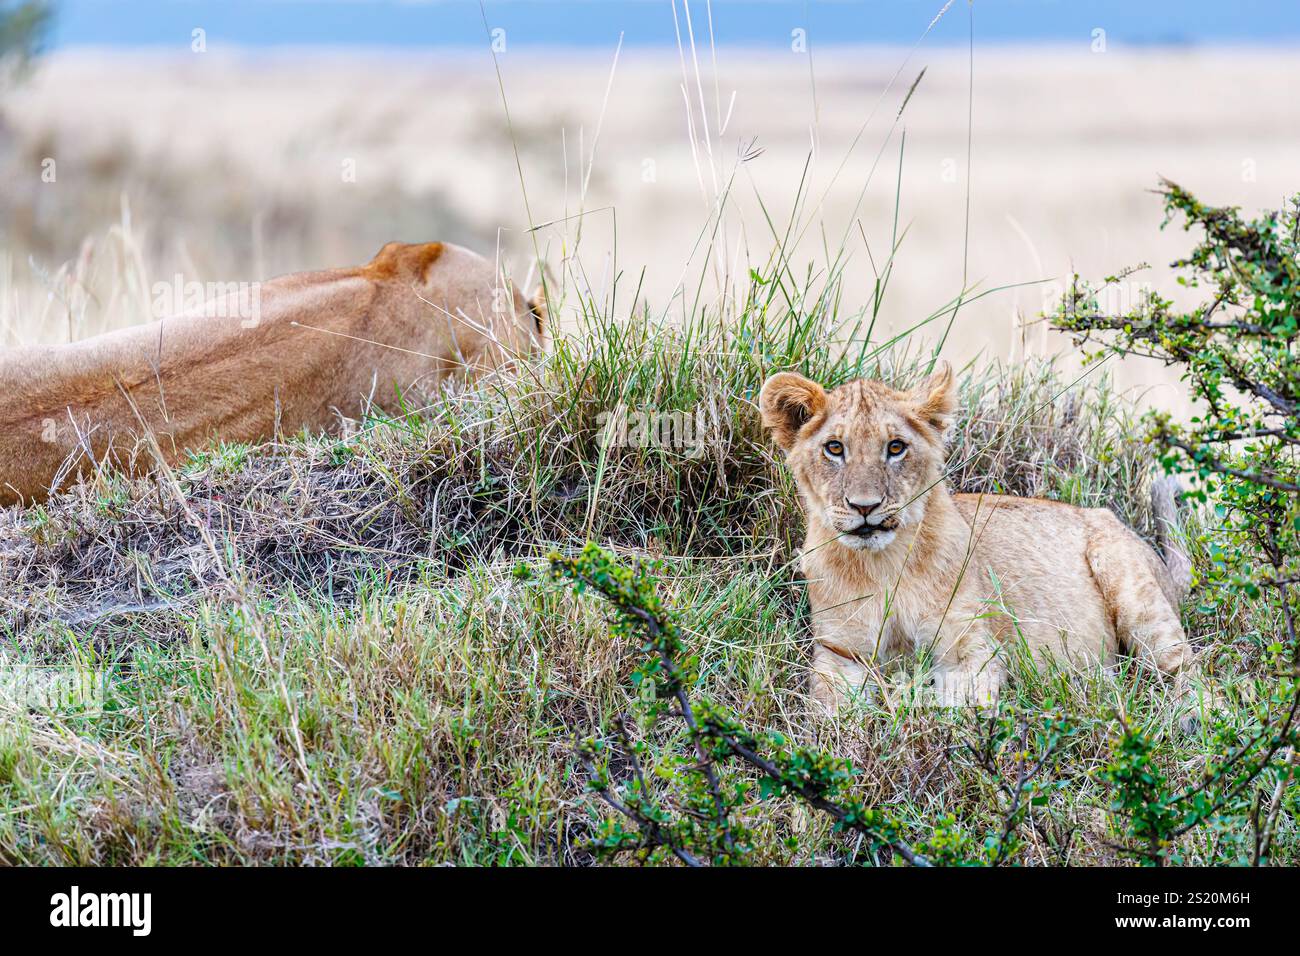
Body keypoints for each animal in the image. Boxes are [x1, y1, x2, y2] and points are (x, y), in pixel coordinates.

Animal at [759, 363, 1200, 712]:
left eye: (896, 447)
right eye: (834, 448)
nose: (864, 507)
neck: (884, 566)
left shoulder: (971, 651)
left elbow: (956, 713)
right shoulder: (839, 653)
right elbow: (829, 710)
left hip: (1134, 592)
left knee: (1188, 666)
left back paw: (1191, 716)